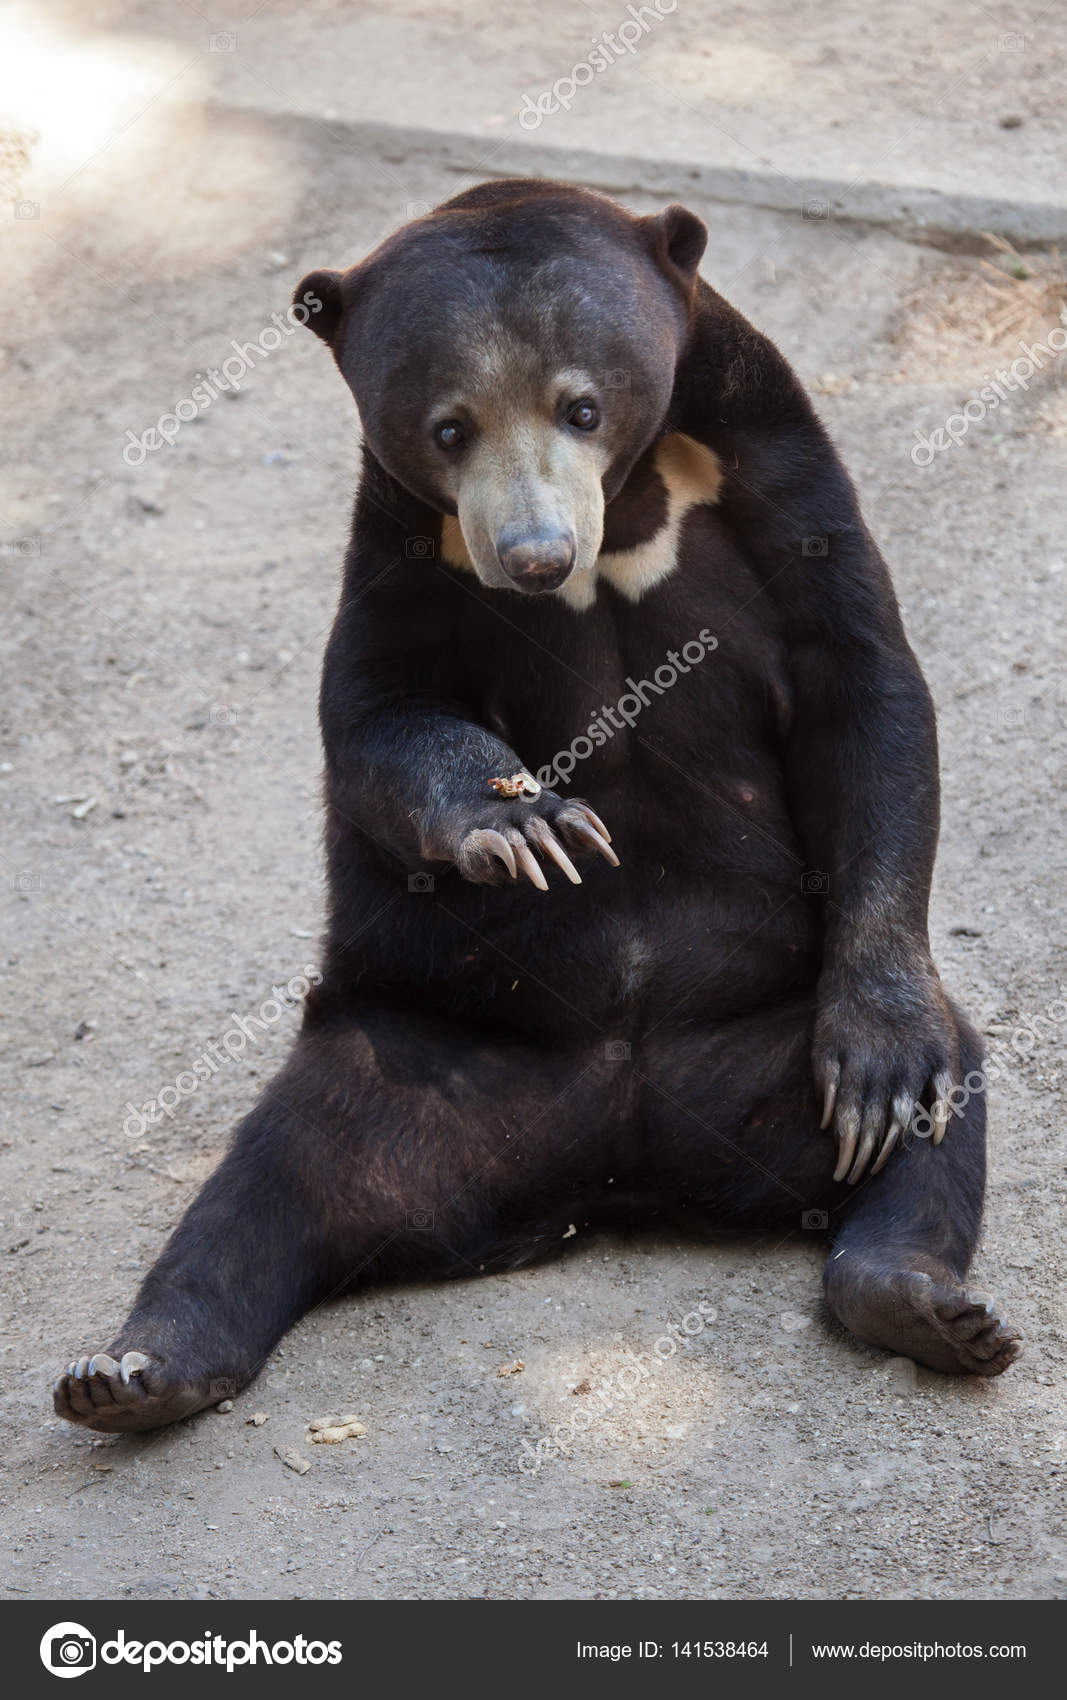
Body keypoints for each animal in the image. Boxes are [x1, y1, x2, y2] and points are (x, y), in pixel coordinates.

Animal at [54, 178, 1020, 1433]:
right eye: (446, 425)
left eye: (581, 404)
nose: (531, 557)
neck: (639, 501)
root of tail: (616, 1161)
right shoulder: (402, 544)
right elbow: (380, 708)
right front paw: (527, 823)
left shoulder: (779, 479)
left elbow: (862, 697)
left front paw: (879, 1064)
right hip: (415, 1048)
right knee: (272, 1183)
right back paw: (134, 1367)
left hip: (761, 1042)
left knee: (941, 1112)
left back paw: (918, 1291)